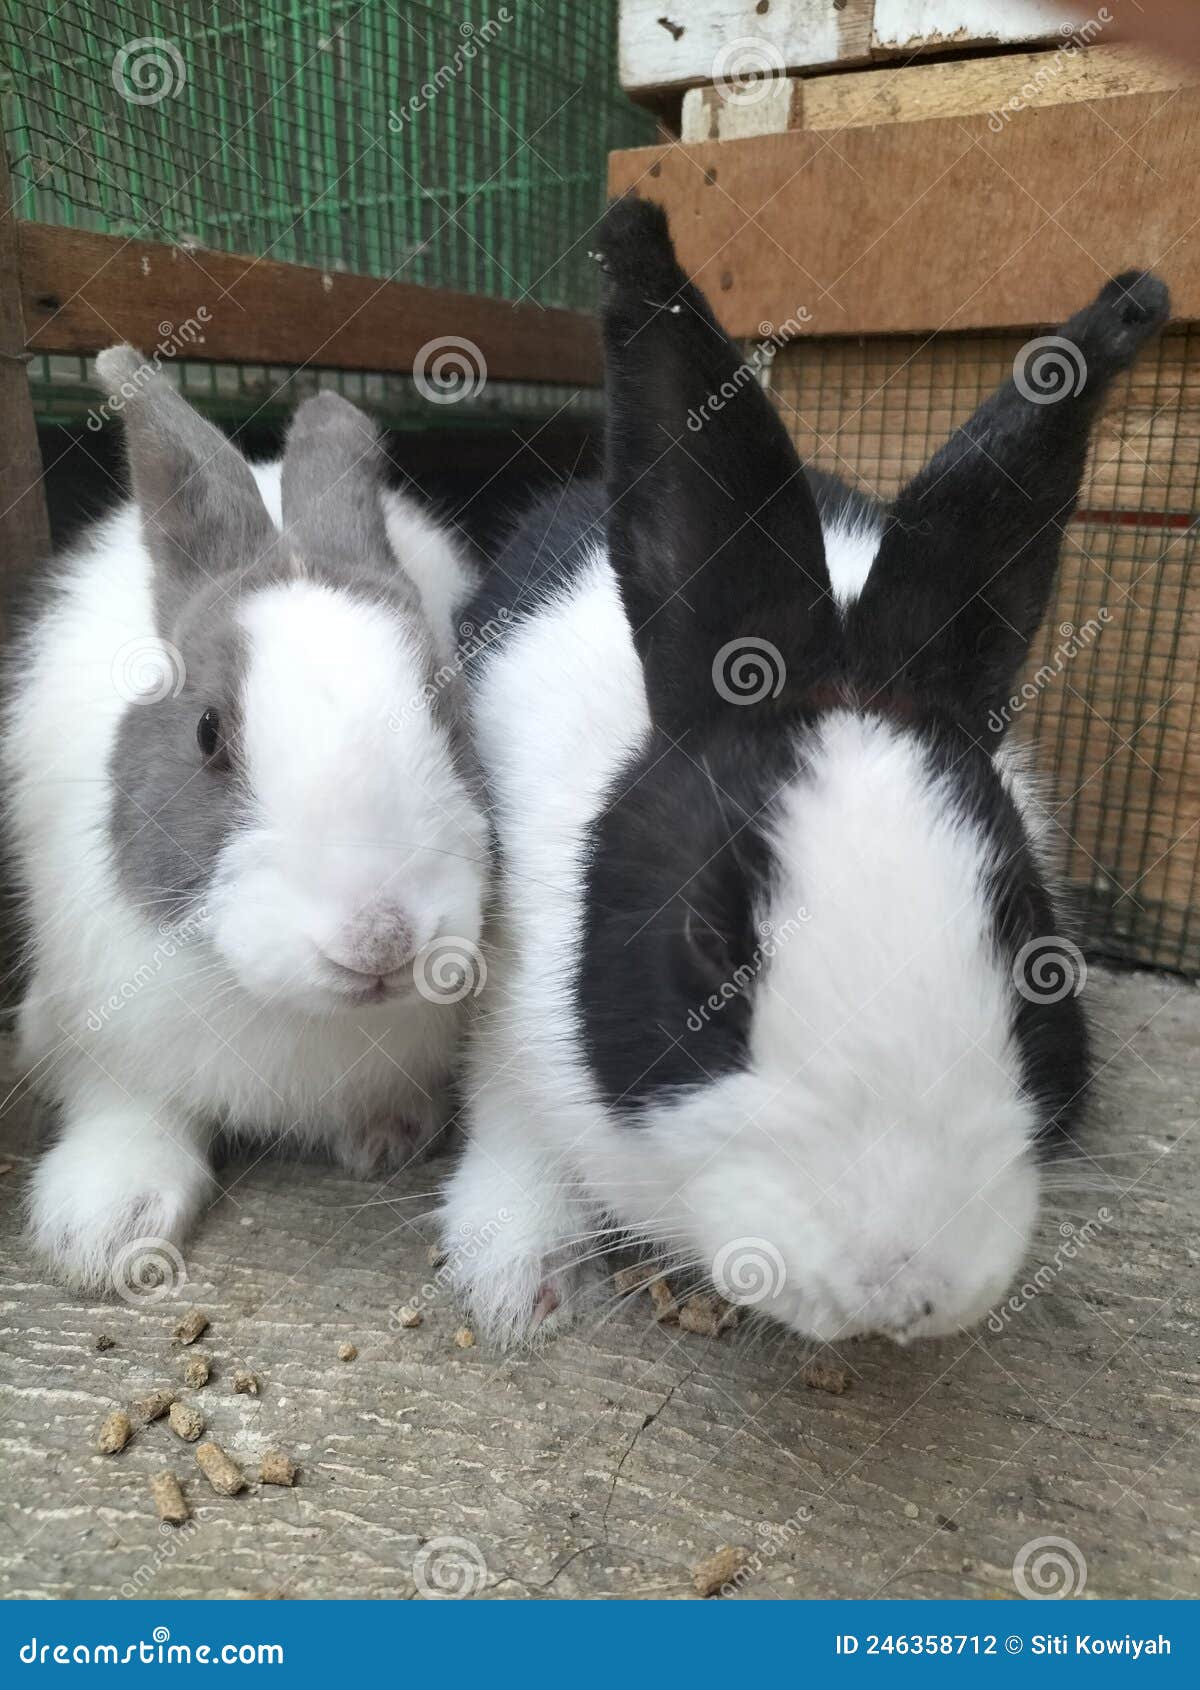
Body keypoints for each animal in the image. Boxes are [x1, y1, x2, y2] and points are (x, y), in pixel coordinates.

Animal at [3, 349, 489, 1291]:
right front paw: (102, 1233)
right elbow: (130, 1105)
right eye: (207, 734)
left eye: (449, 713)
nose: (381, 943)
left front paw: (386, 1137)